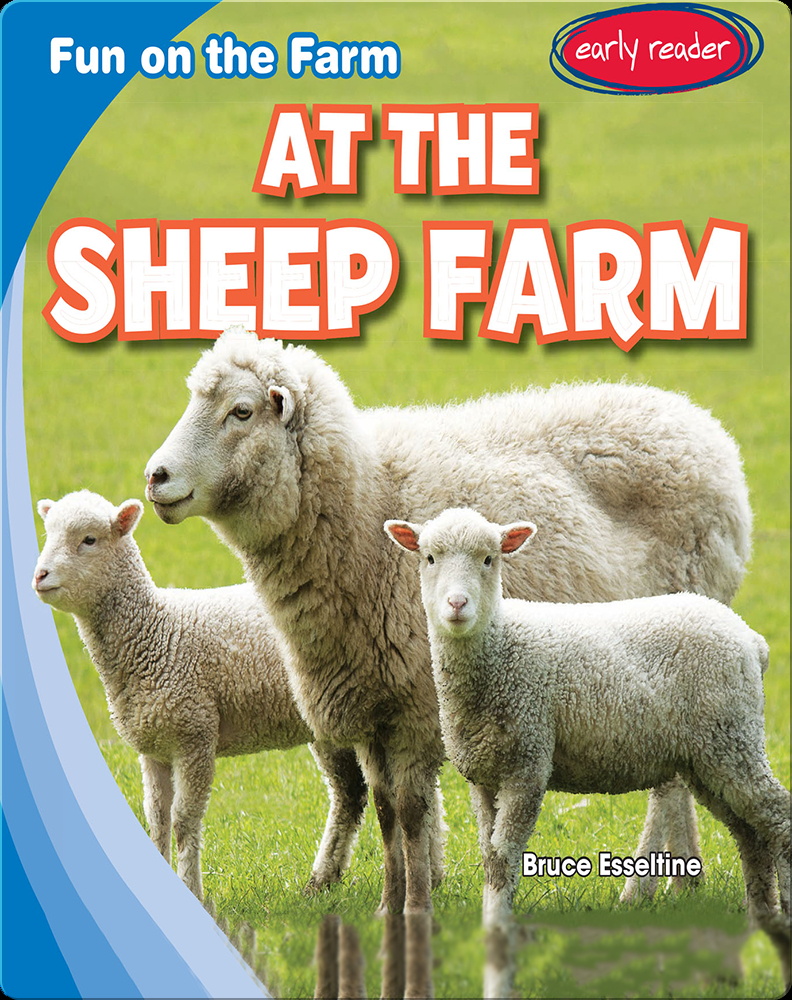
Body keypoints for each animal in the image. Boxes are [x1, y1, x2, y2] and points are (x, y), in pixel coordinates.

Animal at [31, 490, 368, 902]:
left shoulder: (195, 736)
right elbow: (157, 820)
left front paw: (191, 890)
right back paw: (324, 880)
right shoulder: (153, 748)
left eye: (89, 540)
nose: (40, 575)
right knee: (350, 792)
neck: (155, 634)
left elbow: (183, 821)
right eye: (48, 534)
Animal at [385, 507, 790, 990]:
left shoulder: (527, 763)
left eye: (489, 559)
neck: (500, 646)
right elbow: (489, 858)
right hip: (710, 754)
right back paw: (759, 926)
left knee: (779, 821)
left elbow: (503, 863)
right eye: (428, 558)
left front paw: (499, 971)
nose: (457, 605)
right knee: (751, 835)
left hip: (732, 737)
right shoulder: (484, 777)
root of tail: (751, 639)